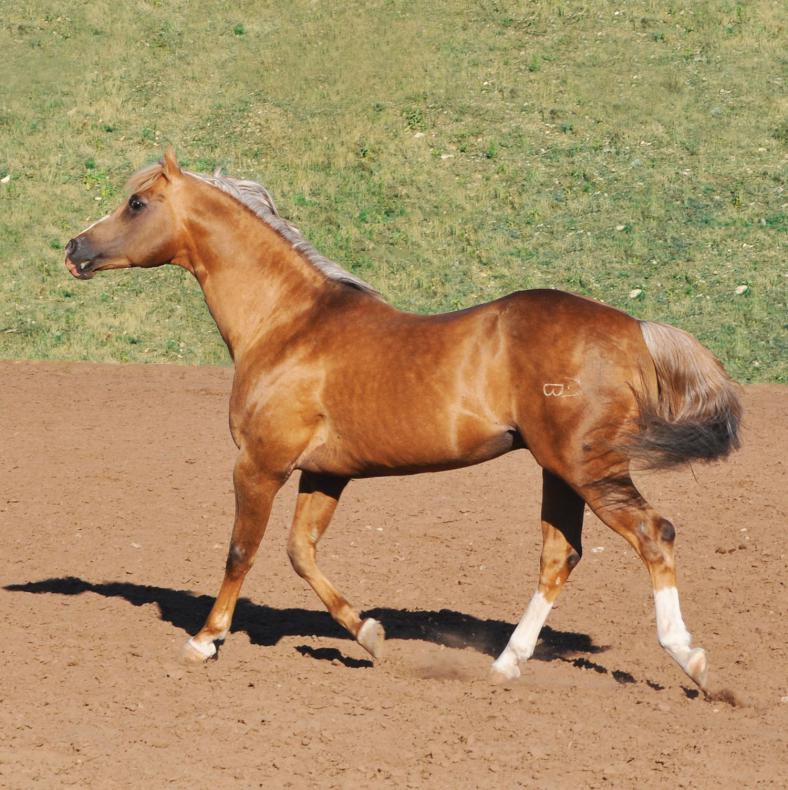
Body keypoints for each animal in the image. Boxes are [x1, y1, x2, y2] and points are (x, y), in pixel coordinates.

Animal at [64, 147, 741, 689]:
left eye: (136, 202)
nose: (73, 249)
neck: (287, 324)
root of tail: (634, 329)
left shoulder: (260, 463)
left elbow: (242, 550)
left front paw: (205, 640)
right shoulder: (325, 473)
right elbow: (299, 551)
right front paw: (369, 634)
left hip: (589, 467)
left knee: (654, 534)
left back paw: (692, 662)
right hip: (561, 471)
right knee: (560, 556)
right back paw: (504, 665)